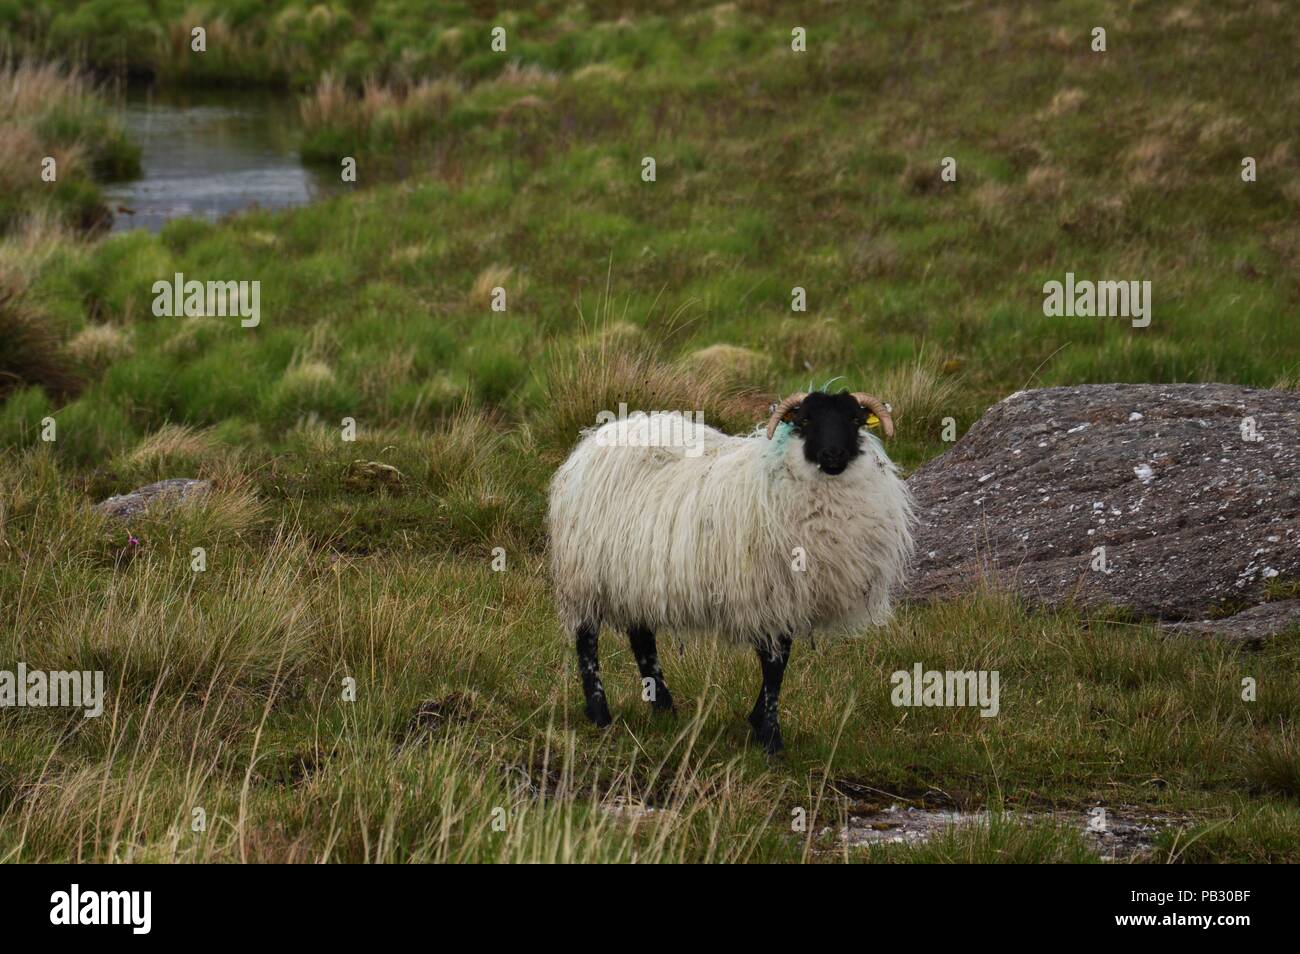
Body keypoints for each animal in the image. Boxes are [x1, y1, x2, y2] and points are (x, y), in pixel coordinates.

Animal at [547, 389, 915, 753]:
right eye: (805, 420)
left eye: (854, 419)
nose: (833, 453)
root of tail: (597, 438)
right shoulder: (766, 591)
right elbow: (774, 664)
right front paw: (771, 738)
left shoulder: (787, 597)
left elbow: (781, 661)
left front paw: (758, 722)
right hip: (585, 573)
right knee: (587, 639)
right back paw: (600, 713)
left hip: (635, 573)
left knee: (642, 638)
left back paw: (664, 708)